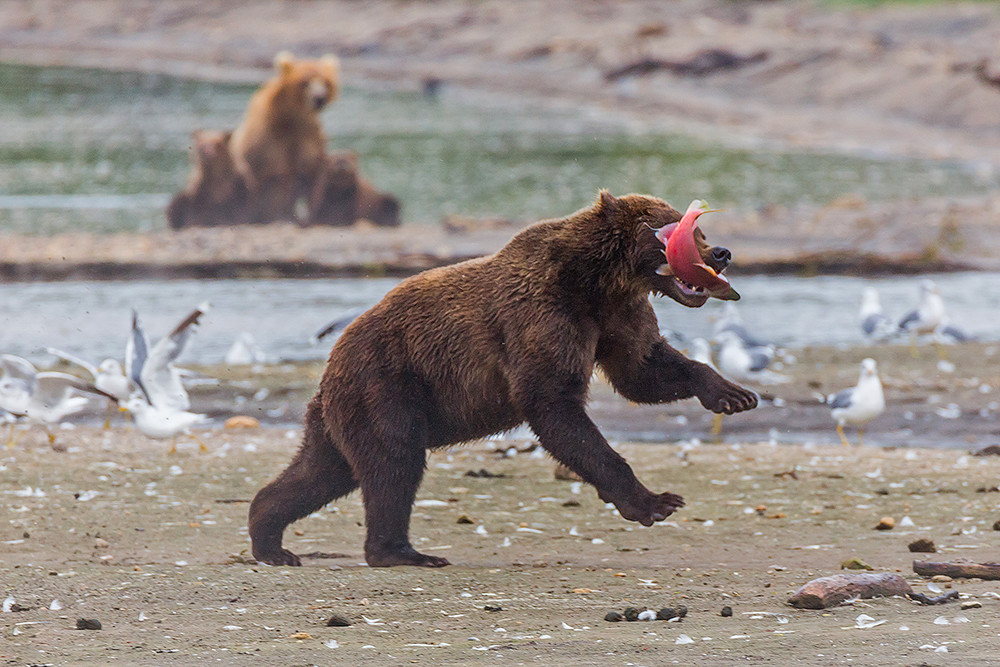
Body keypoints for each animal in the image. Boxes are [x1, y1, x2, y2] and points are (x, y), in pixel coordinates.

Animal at [229, 51, 340, 224]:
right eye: (305, 82)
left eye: (325, 81)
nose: (319, 98)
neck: (291, 119)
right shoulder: (267, 143)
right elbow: (274, 179)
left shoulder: (308, 137)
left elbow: (313, 173)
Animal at [248, 191, 758, 568]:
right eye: (682, 229)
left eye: (701, 229)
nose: (722, 252)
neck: (596, 282)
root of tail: (329, 367)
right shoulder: (542, 316)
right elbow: (554, 404)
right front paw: (654, 502)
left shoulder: (617, 315)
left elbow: (643, 370)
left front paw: (732, 393)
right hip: (387, 386)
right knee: (394, 463)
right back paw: (401, 551)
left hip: (346, 412)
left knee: (323, 471)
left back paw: (269, 537)